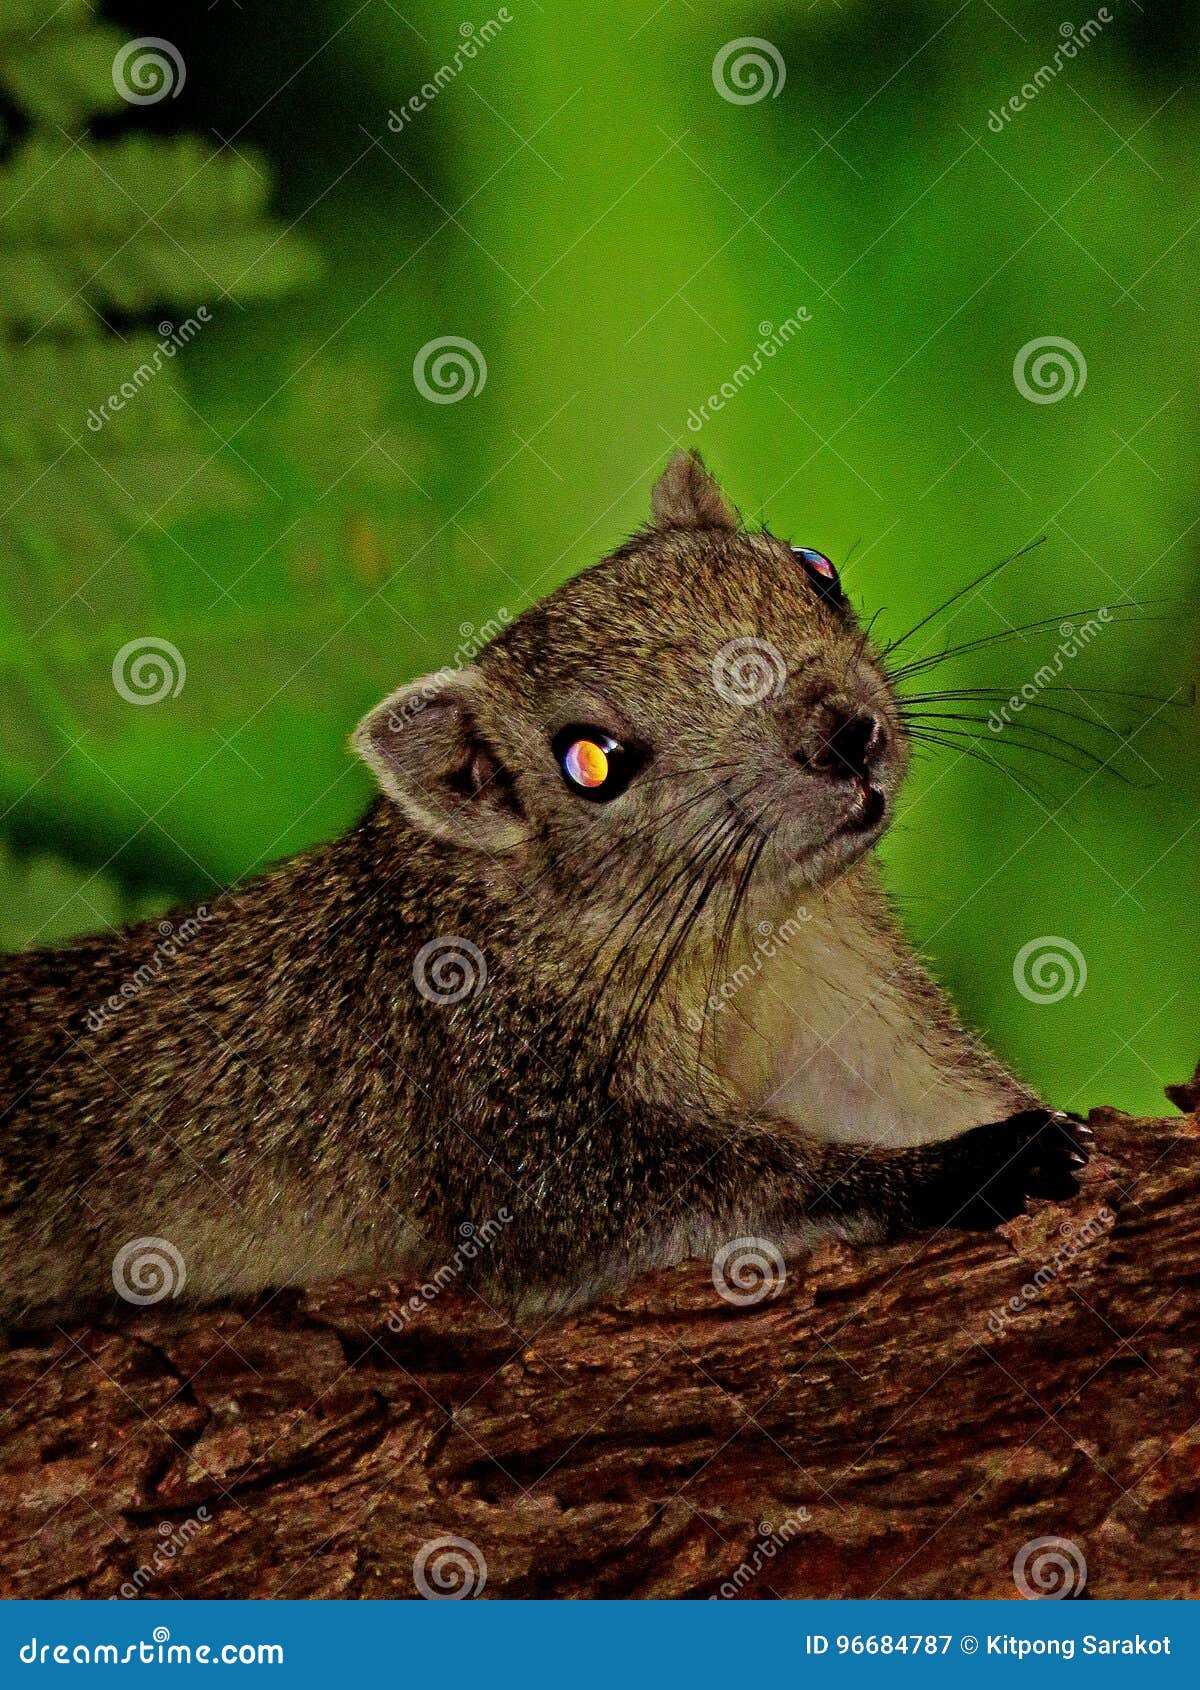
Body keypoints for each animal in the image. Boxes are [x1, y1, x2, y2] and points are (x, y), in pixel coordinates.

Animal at [0, 451, 1089, 1325]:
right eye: (590, 761)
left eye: (816, 570)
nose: (845, 733)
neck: (754, 940)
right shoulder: (501, 1084)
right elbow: (664, 1187)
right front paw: (961, 1170)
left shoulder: (857, 1017)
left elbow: (937, 1091)